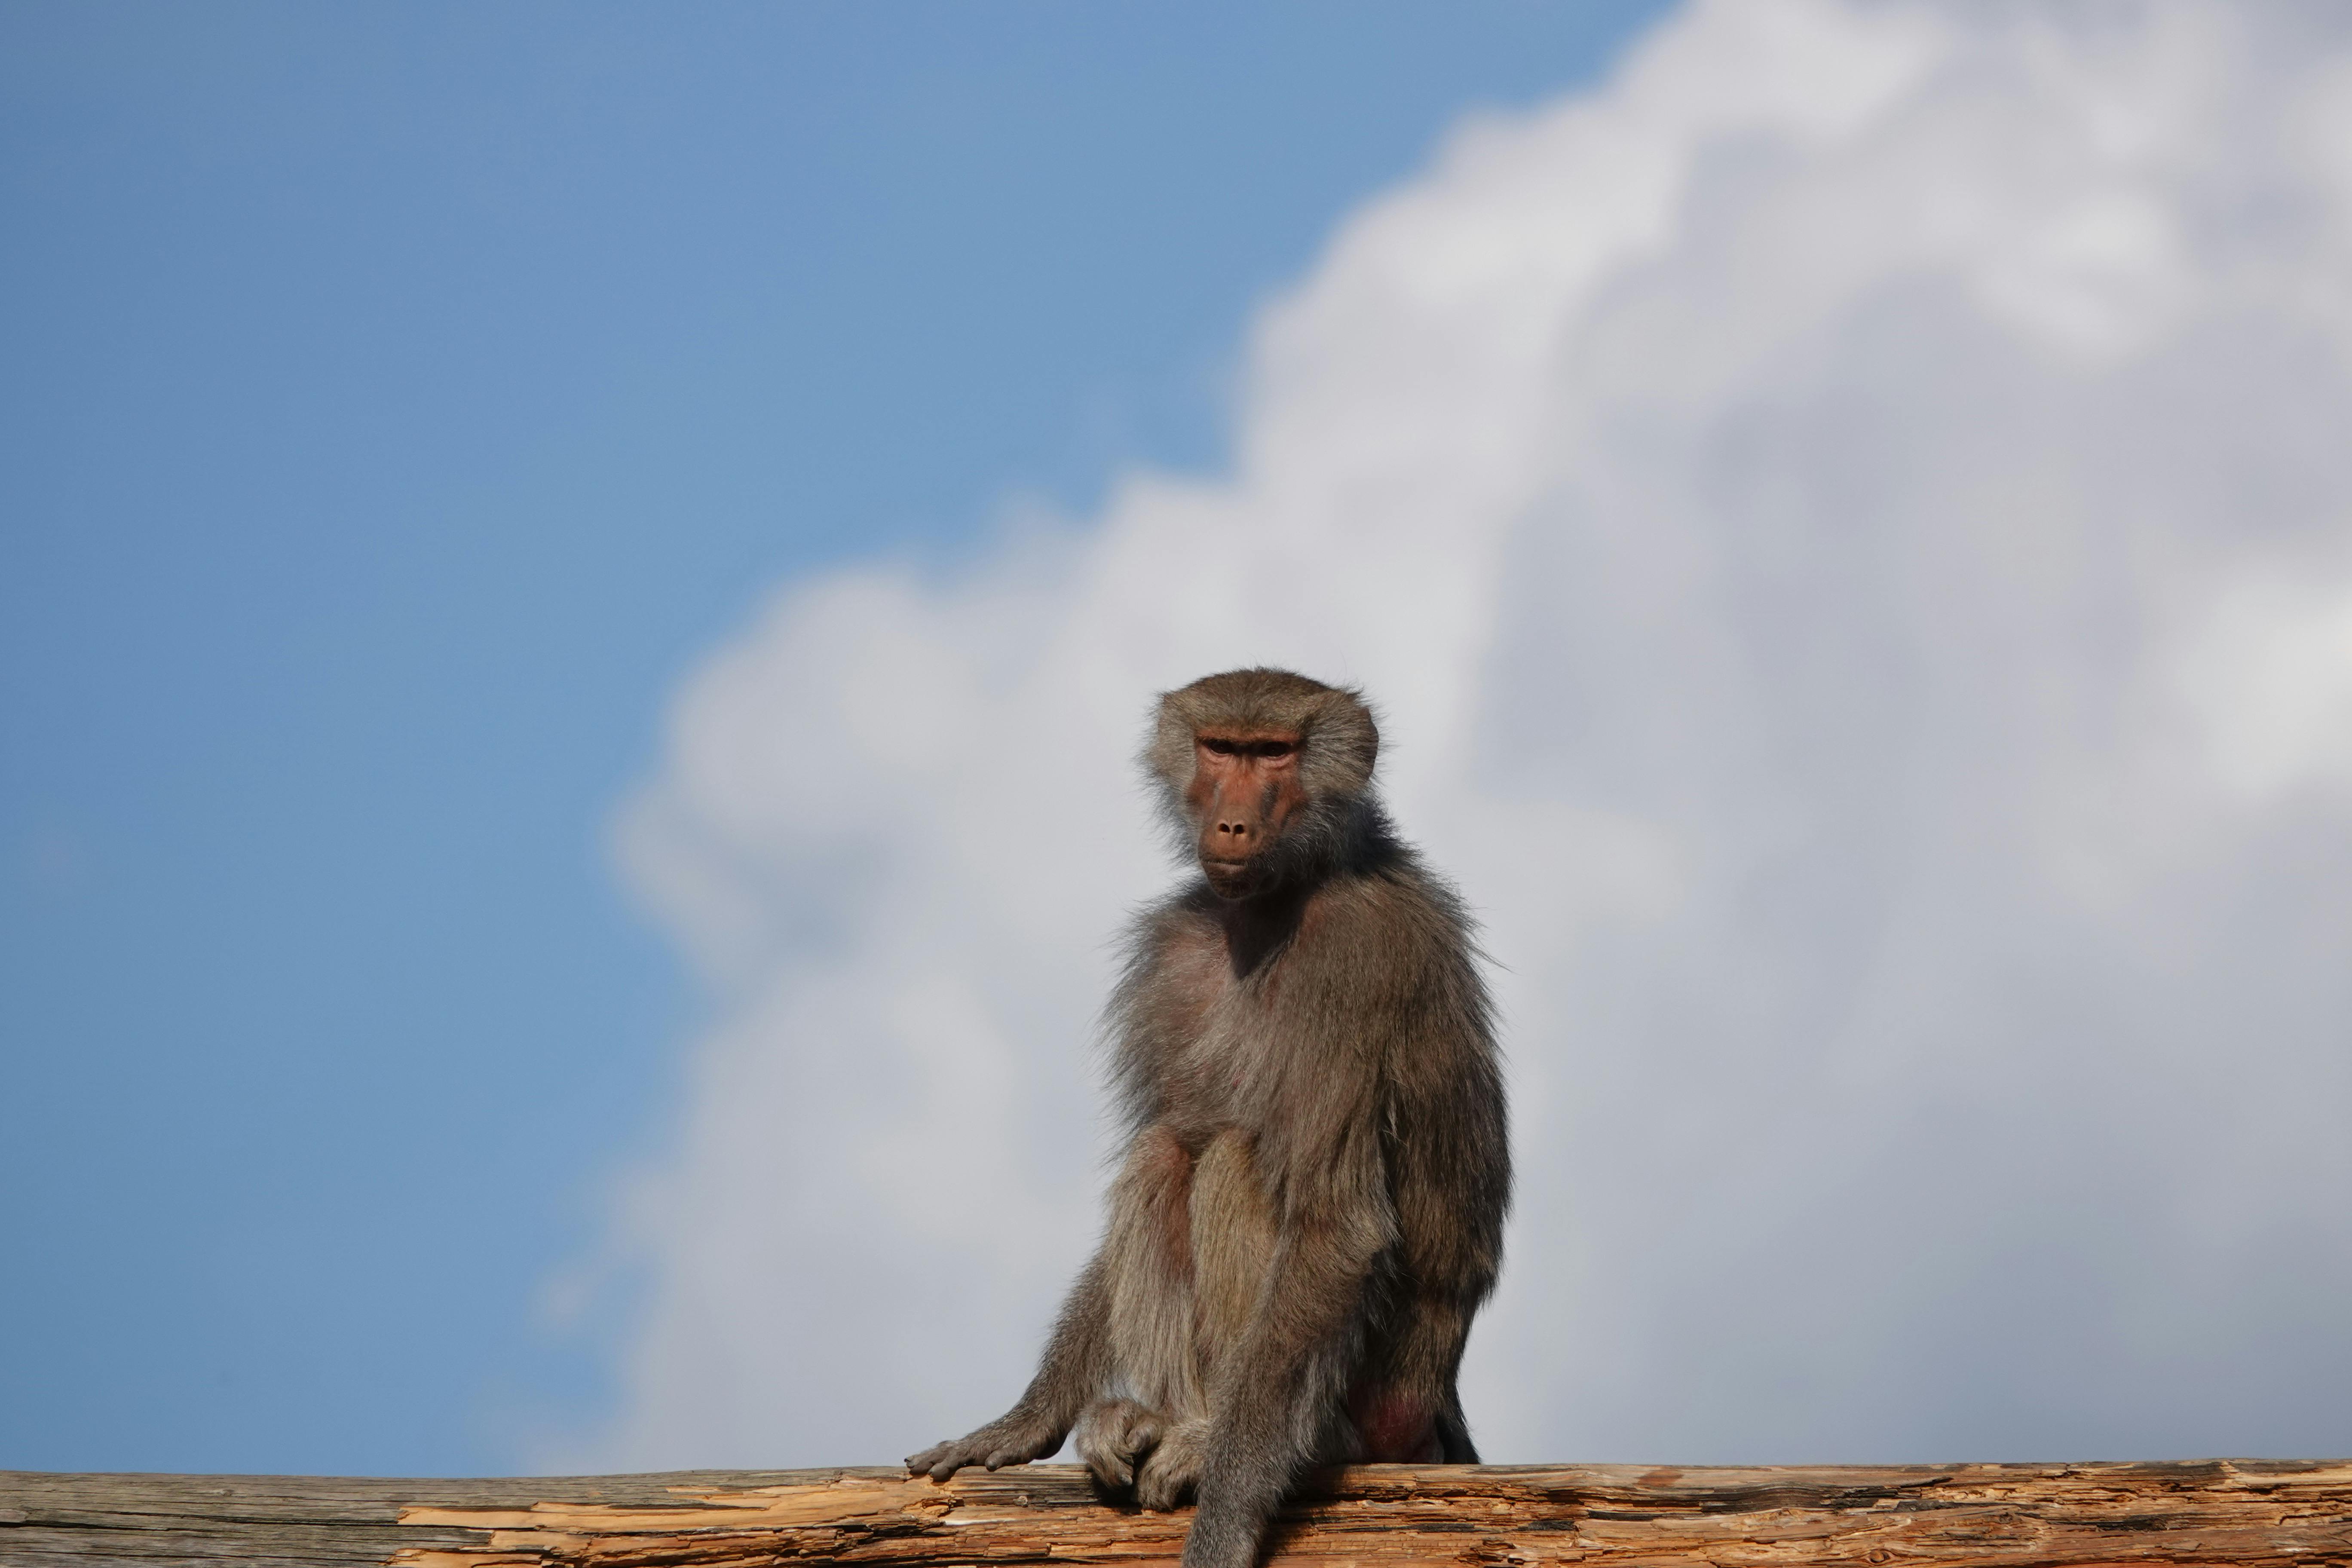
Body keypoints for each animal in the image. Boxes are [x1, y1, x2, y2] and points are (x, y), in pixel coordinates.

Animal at [908, 668, 1509, 1568]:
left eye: (1275, 754)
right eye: (1219, 748)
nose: (1231, 823)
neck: (1279, 897)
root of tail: (1437, 1404)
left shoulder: (1353, 958)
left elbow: (1337, 1224)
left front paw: (1221, 1522)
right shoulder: (1174, 956)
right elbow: (1168, 1128)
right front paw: (1024, 1421)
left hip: (1377, 1399)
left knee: (1233, 1160)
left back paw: (1213, 1439)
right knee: (1166, 1150)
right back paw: (1163, 1419)